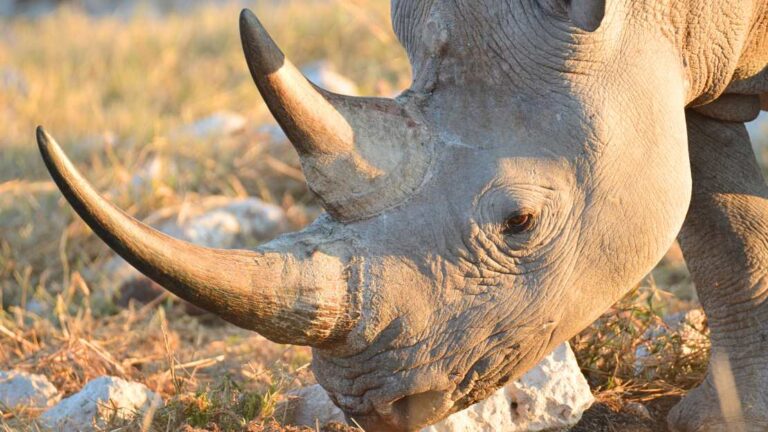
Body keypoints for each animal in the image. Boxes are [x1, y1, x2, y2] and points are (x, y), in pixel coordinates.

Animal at [36, 0, 768, 430]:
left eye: (520, 222)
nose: (378, 409)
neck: (658, 14)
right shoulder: (688, 69)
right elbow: (726, 233)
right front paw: (725, 419)